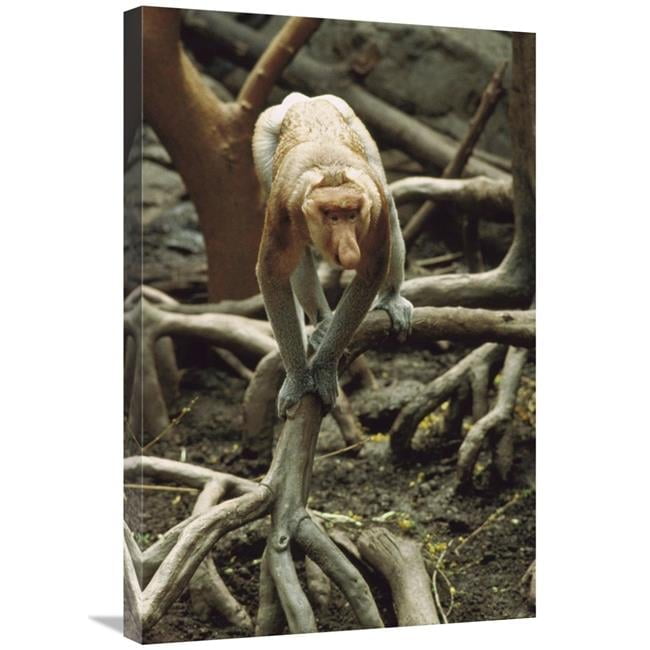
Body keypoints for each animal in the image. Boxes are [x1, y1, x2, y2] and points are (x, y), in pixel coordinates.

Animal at [252, 93, 413, 418]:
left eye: (351, 214)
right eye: (332, 216)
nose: (348, 247)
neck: (330, 173)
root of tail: (305, 101)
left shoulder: (373, 209)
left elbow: (370, 272)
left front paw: (324, 370)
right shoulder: (281, 207)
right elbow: (272, 274)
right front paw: (298, 380)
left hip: (351, 118)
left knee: (391, 206)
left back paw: (390, 298)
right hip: (266, 131)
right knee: (298, 255)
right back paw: (322, 322)